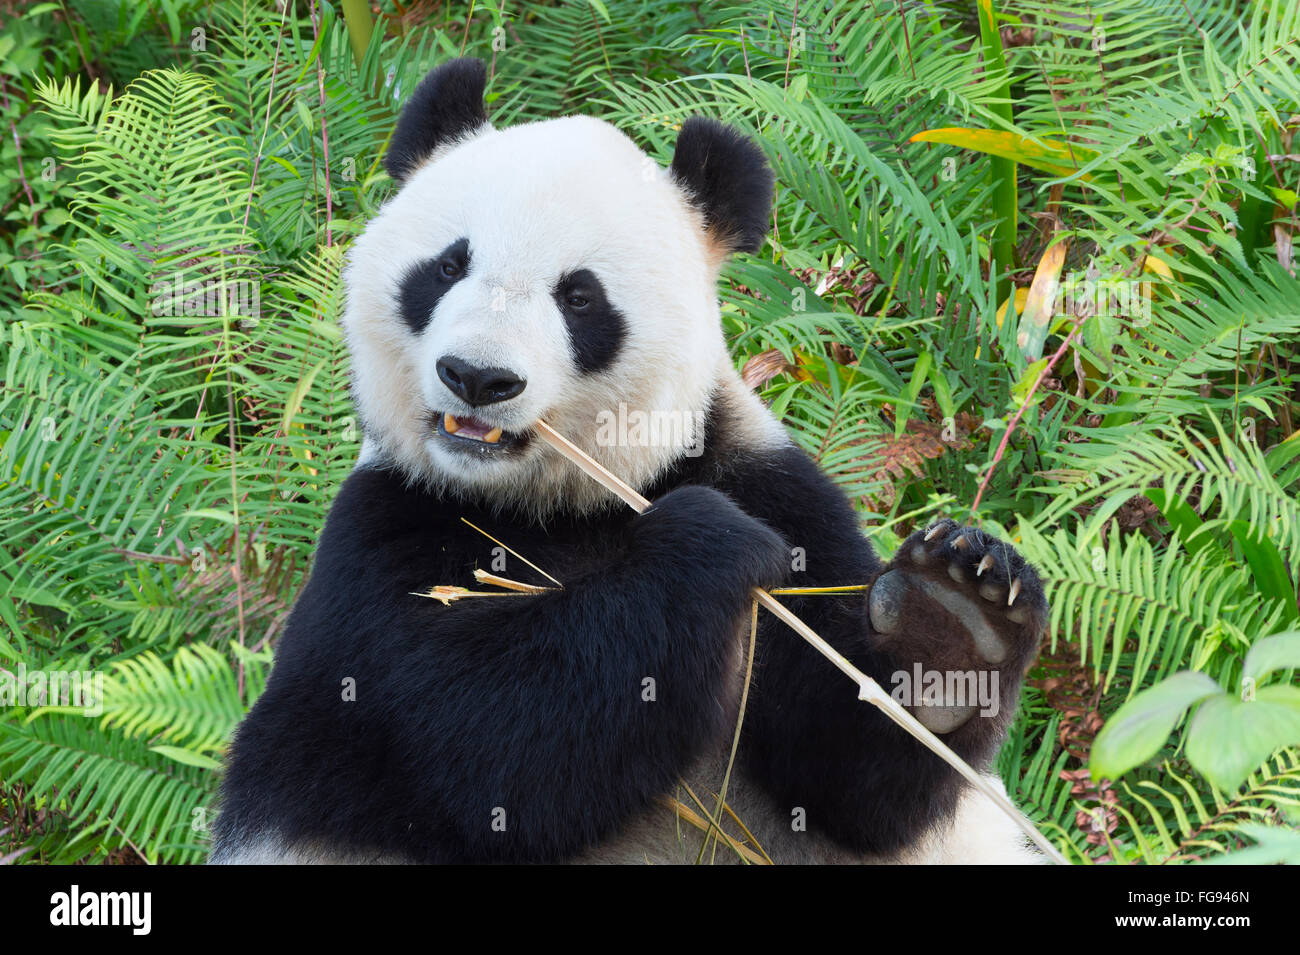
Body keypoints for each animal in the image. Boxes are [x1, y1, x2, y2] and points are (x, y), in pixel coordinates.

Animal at [210, 58, 1049, 865]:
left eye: (580, 298)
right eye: (446, 267)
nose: (477, 377)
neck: (552, 505)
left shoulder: (764, 480)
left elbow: (851, 780)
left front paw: (953, 614)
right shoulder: (382, 535)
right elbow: (482, 746)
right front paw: (706, 541)